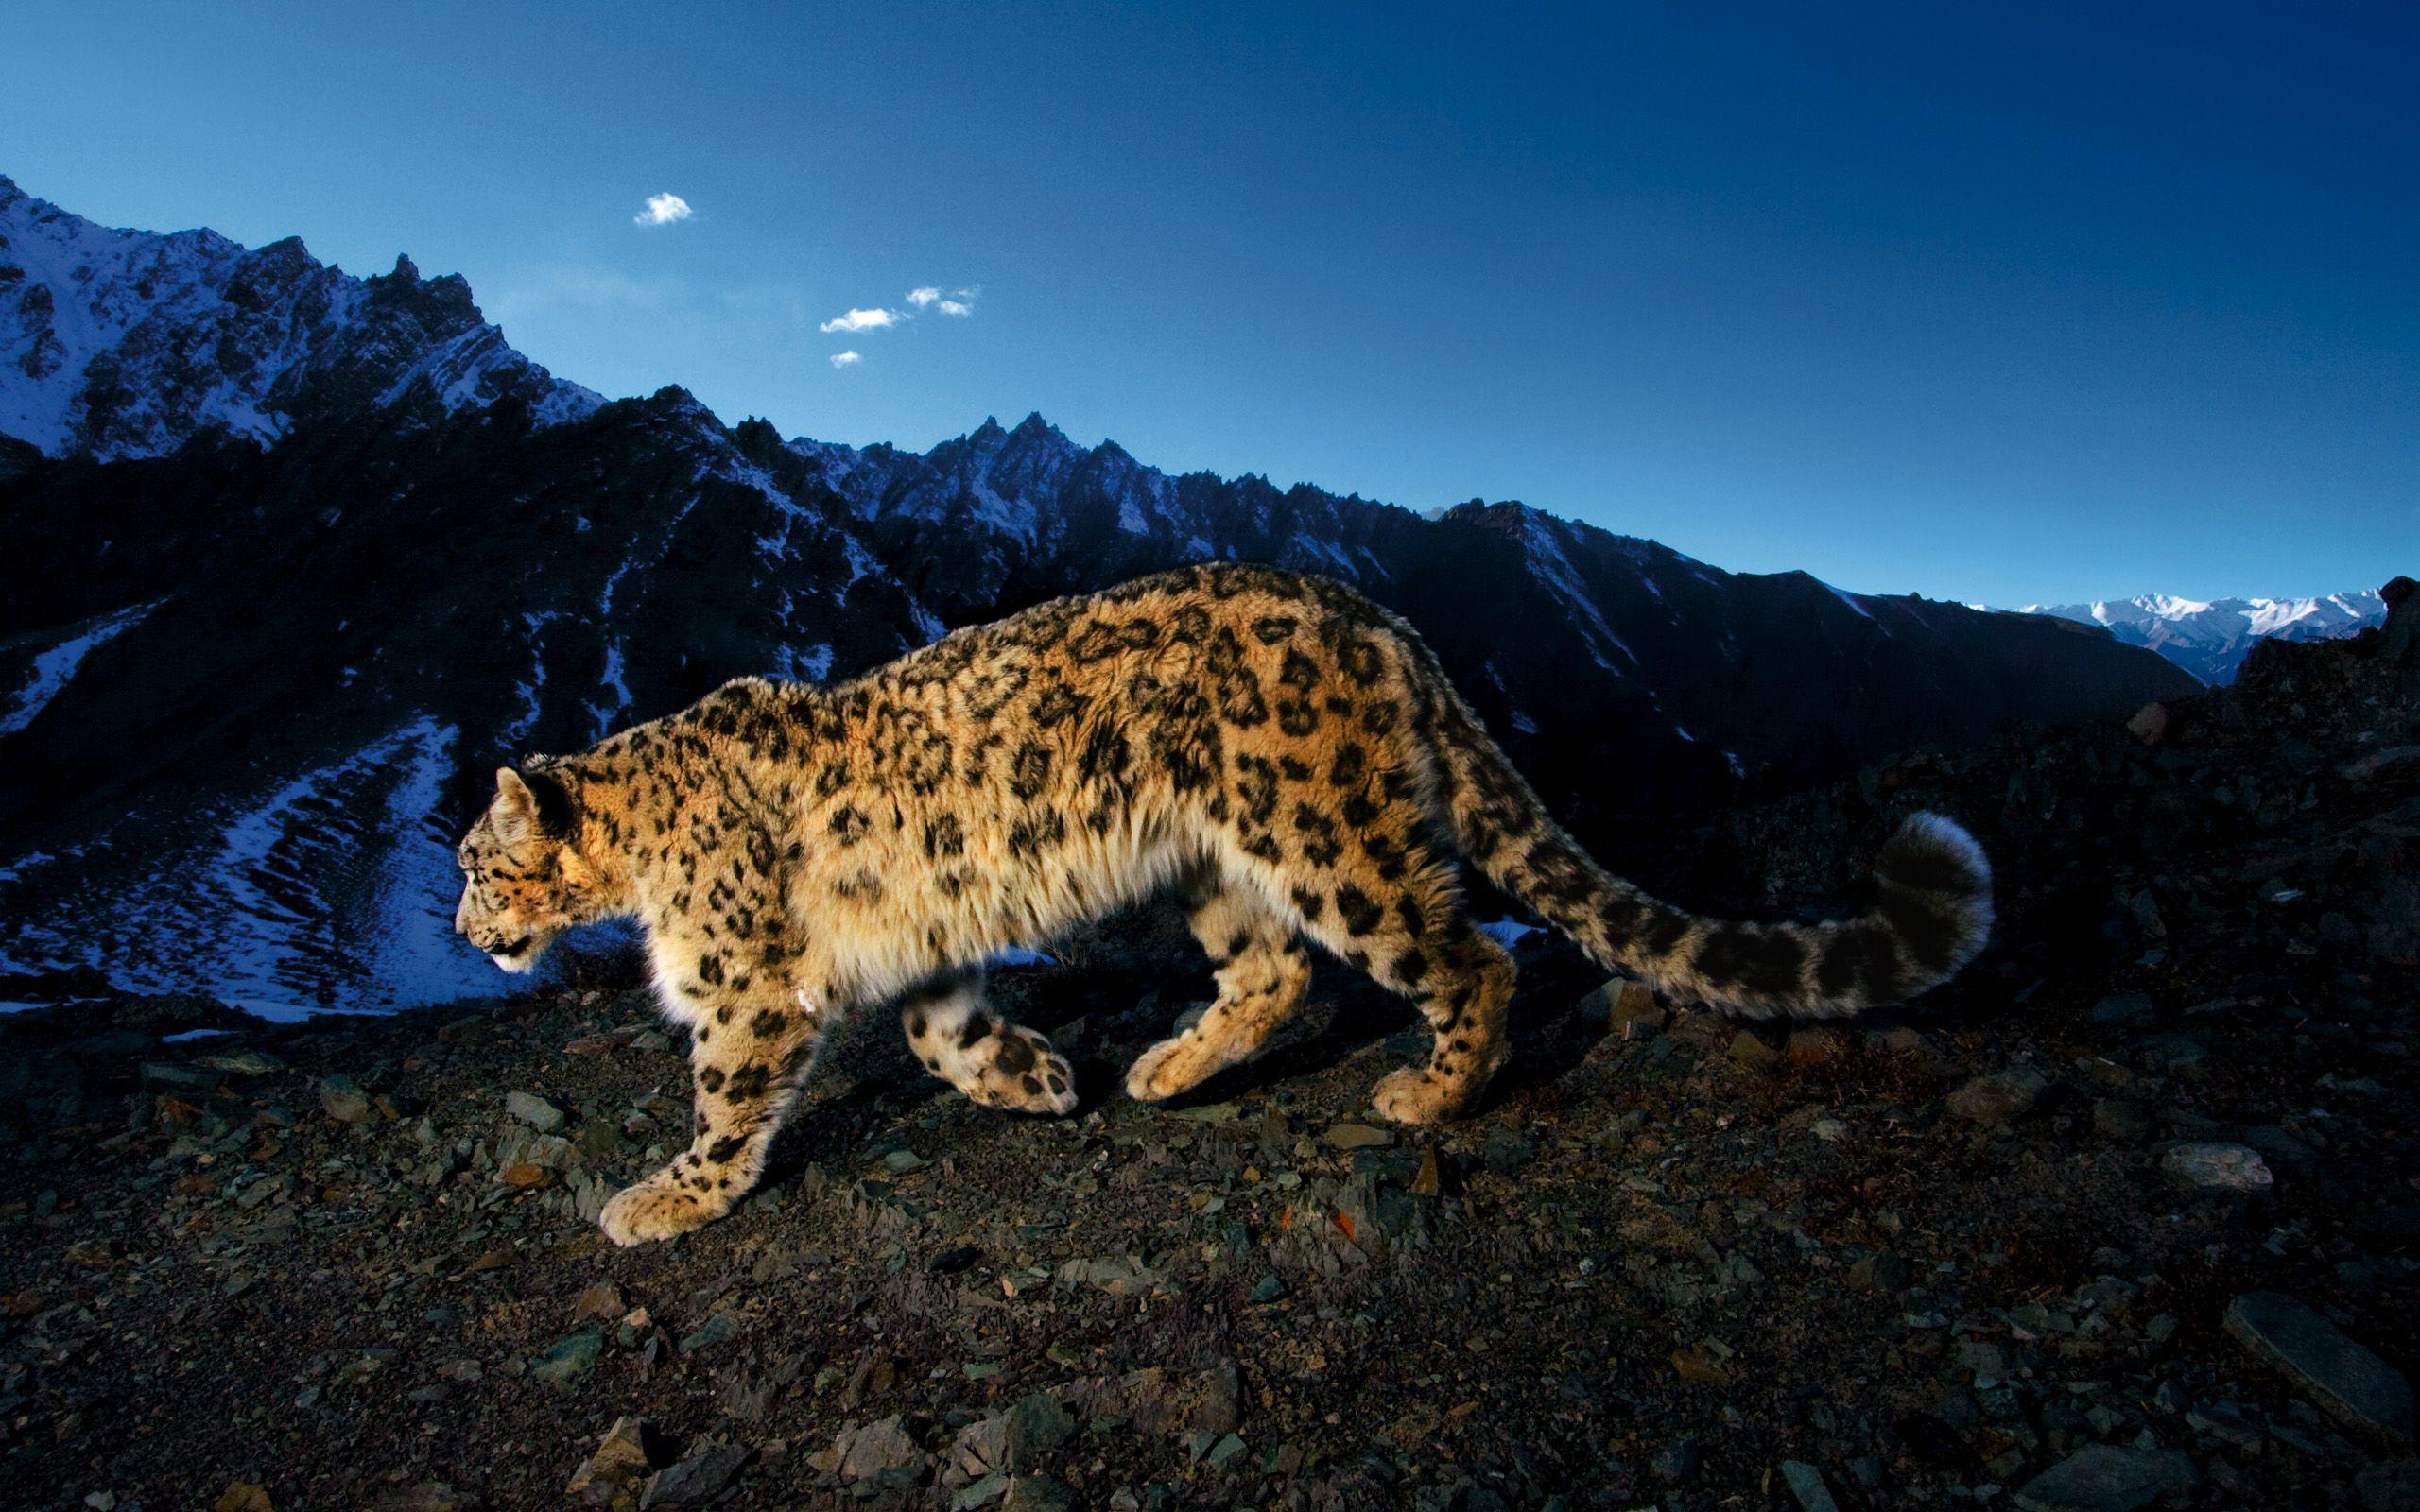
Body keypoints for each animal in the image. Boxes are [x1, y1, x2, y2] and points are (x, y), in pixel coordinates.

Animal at [451, 563, 1992, 1246]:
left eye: (470, 860)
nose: (464, 930)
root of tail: (1379, 617)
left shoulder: (743, 985)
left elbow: (726, 1097)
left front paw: (664, 1197)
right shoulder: (925, 949)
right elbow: (943, 1035)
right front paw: (1037, 1078)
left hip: (1325, 832)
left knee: (1461, 959)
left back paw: (1426, 1095)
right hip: (1212, 863)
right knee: (1275, 974)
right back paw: (1162, 1068)